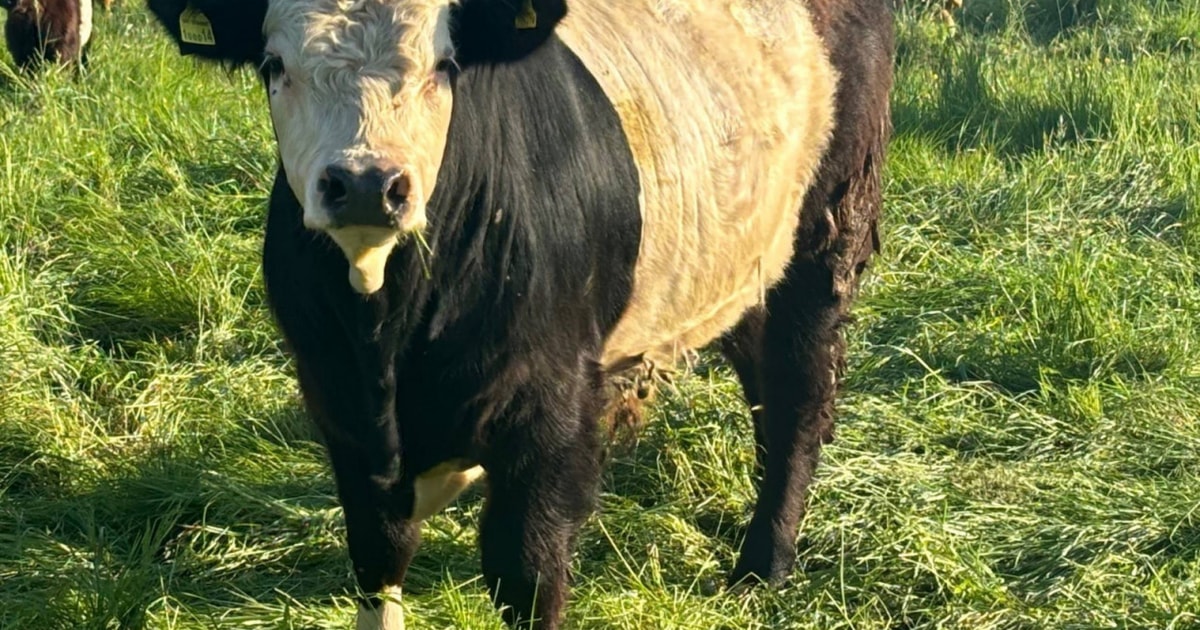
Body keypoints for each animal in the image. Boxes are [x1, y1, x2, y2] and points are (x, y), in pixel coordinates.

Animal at [144, 0, 894, 627]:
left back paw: (762, 568)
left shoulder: (549, 405)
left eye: (444, 66)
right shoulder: (339, 406)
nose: (364, 183)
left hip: (826, 236)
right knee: (765, 387)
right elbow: (378, 557)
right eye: (274, 65)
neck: (388, 331)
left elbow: (527, 573)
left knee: (798, 398)